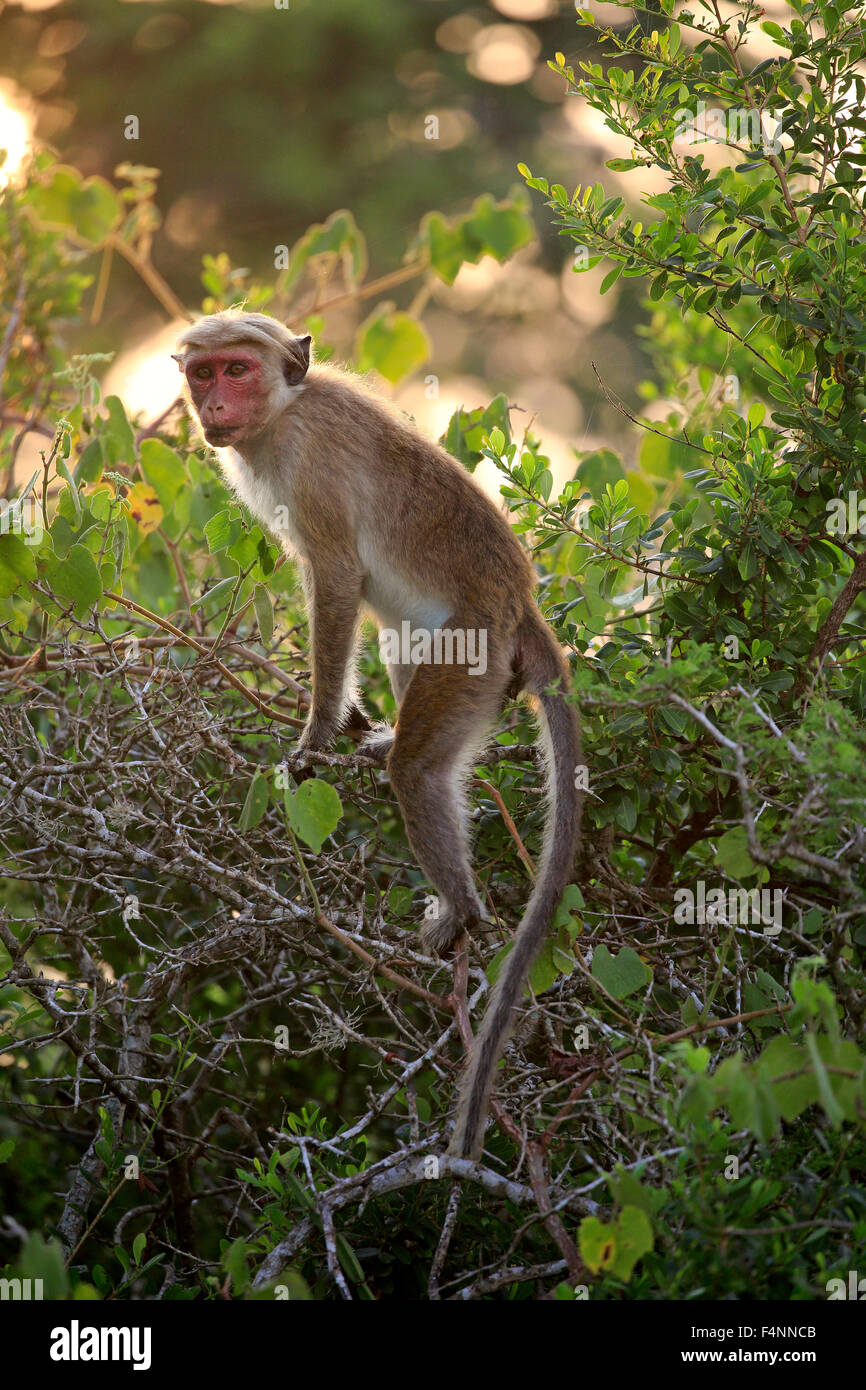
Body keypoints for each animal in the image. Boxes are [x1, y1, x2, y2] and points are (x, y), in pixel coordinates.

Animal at [172, 309, 583, 1160]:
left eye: (236, 369)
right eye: (203, 372)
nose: (214, 403)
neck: (283, 413)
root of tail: (520, 601)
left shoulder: (311, 465)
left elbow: (333, 579)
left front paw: (318, 732)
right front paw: (348, 722)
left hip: (474, 650)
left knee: (421, 771)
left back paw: (462, 910)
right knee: (401, 646)